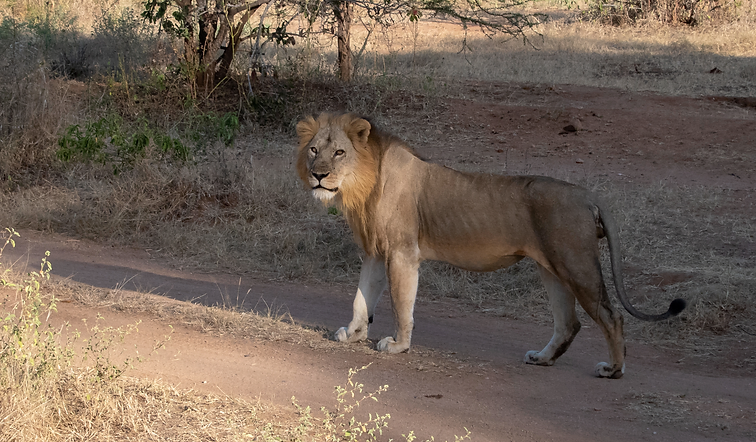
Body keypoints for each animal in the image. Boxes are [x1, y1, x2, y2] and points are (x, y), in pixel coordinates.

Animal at [295, 112, 685, 379]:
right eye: (314, 149)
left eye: (340, 152)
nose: (318, 174)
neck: (362, 185)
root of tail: (588, 195)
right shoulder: (376, 253)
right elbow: (362, 297)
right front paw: (353, 334)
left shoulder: (403, 254)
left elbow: (400, 304)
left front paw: (398, 346)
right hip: (552, 269)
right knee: (569, 323)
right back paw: (543, 358)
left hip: (576, 264)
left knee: (611, 315)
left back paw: (613, 370)